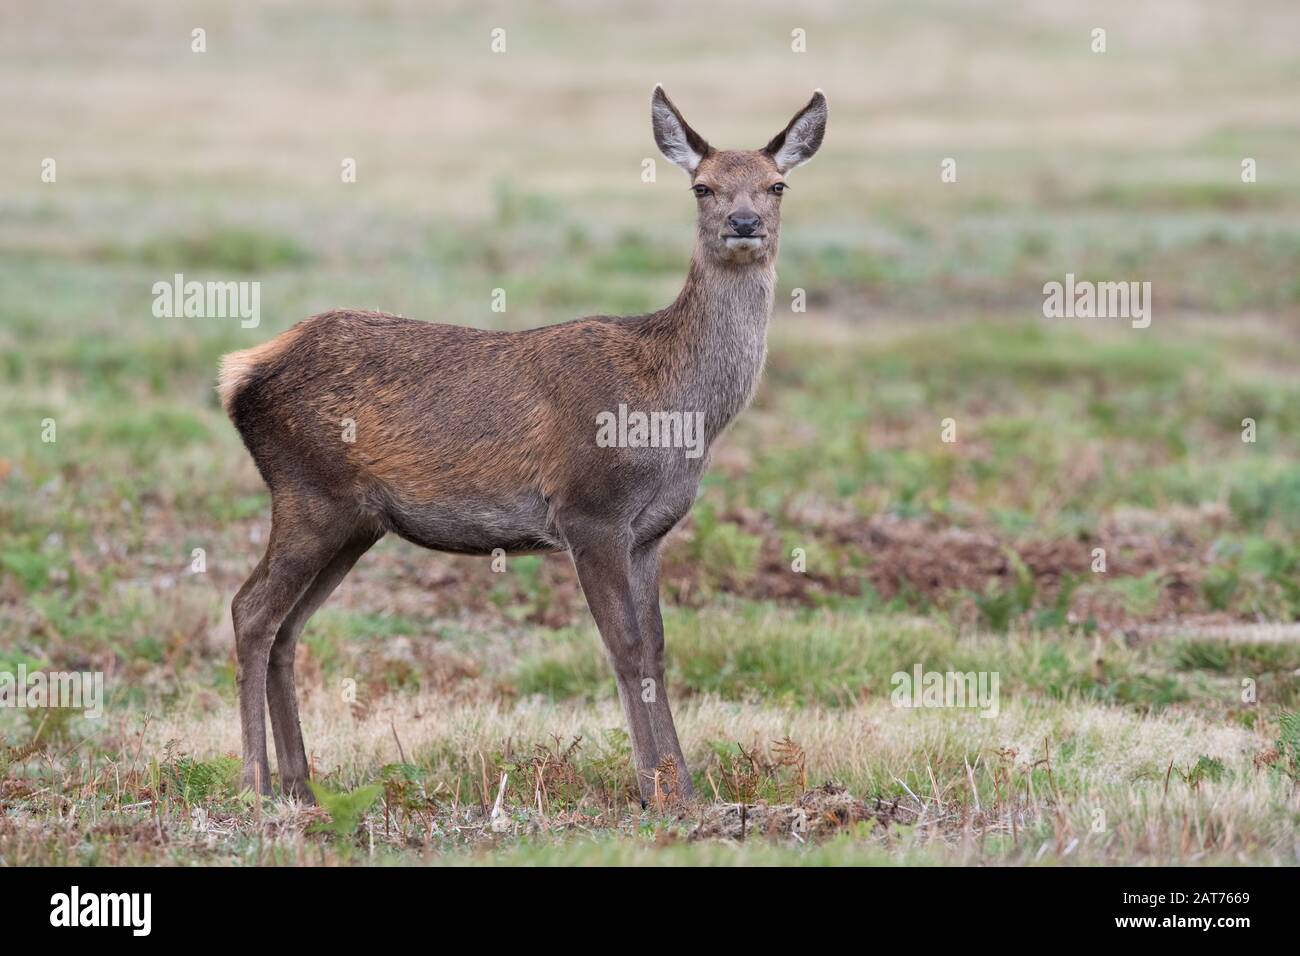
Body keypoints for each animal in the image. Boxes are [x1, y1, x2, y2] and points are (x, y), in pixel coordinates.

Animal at [217, 86, 827, 806]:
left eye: (777, 184)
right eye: (701, 186)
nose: (743, 221)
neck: (679, 410)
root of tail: (239, 373)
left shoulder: (648, 532)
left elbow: (656, 648)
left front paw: (682, 787)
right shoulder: (590, 510)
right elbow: (623, 647)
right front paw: (652, 789)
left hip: (354, 521)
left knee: (287, 626)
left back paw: (302, 786)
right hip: (308, 493)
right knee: (251, 610)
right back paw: (255, 784)